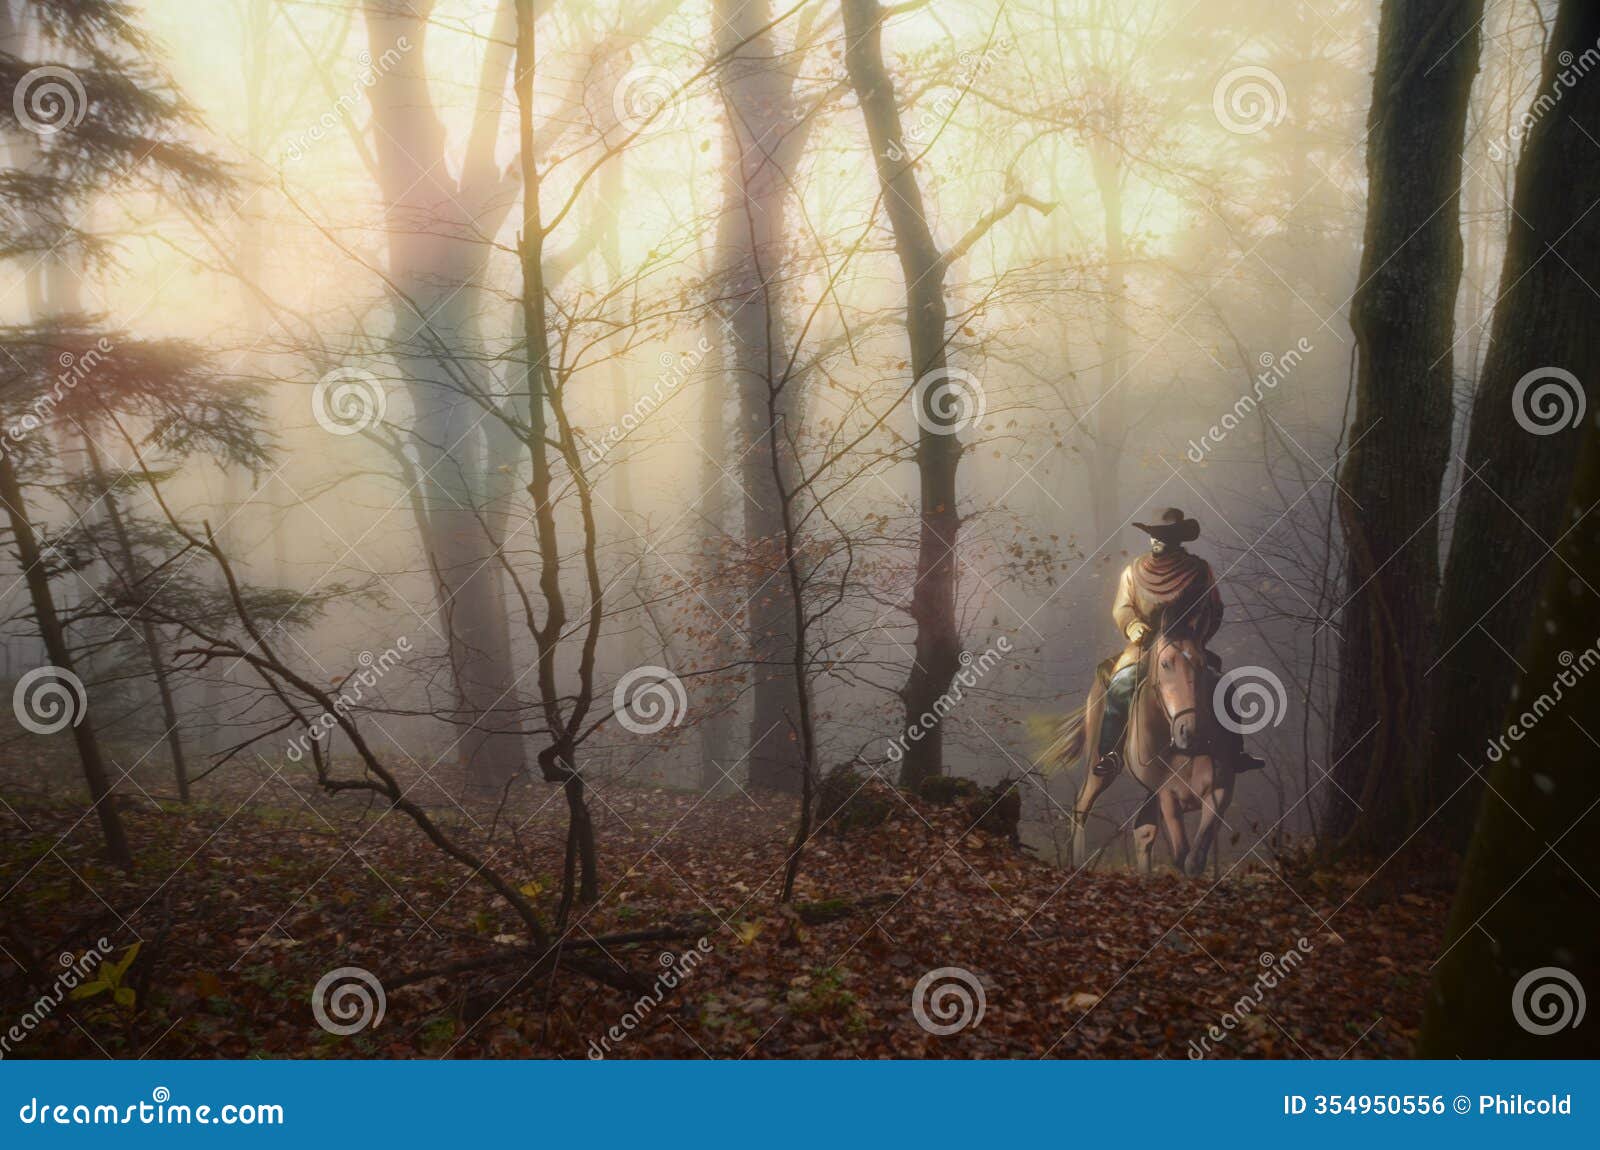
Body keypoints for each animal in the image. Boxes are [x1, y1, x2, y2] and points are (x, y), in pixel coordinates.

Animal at [1042, 617, 1235, 875]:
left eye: (1202, 664)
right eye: (1165, 664)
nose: (1190, 730)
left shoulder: (1220, 792)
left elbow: (1193, 860)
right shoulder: (1167, 794)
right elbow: (1181, 854)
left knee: (1143, 831)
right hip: (1099, 769)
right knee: (1082, 806)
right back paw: (1077, 865)